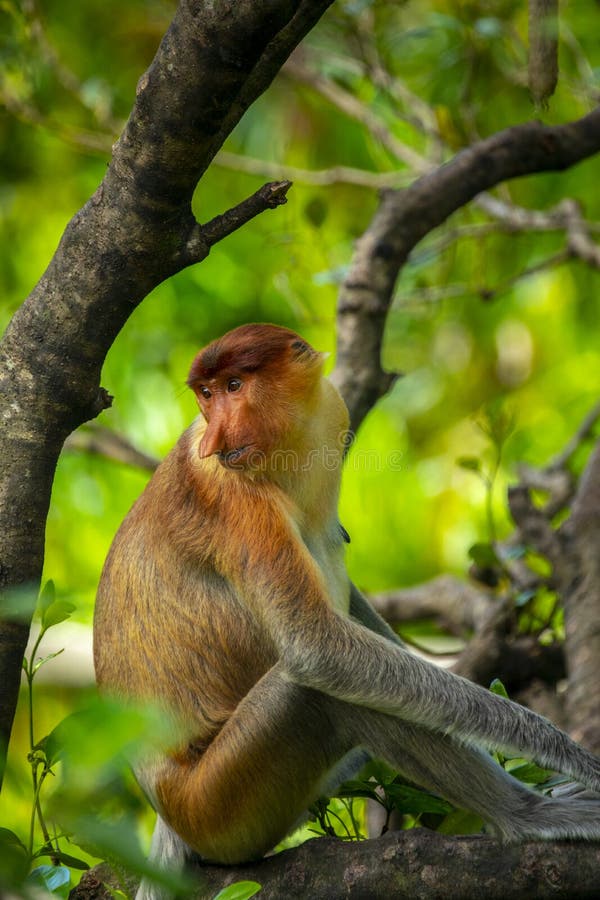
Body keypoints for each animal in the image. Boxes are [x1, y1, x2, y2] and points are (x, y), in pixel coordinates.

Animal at [94, 323, 600, 896]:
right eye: (206, 394)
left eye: (232, 386)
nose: (215, 440)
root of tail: (167, 810)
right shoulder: (231, 496)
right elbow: (317, 646)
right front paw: (566, 756)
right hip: (218, 806)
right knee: (323, 695)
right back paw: (526, 816)